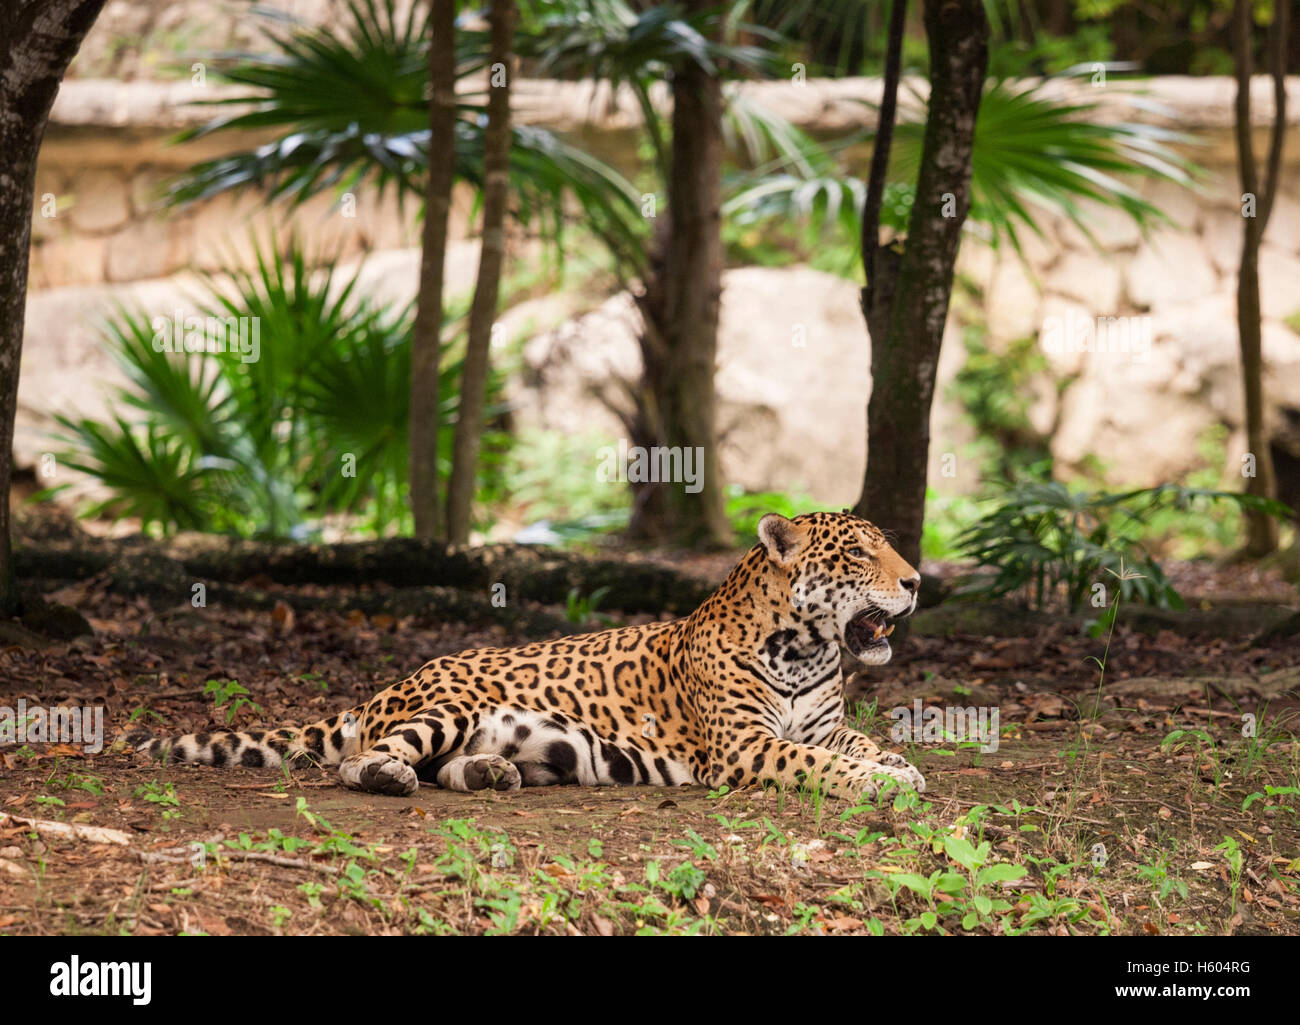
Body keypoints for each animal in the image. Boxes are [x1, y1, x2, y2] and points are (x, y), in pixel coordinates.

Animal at [127, 511, 926, 802]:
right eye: (860, 553)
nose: (917, 581)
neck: (807, 649)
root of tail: (387, 686)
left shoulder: (822, 723)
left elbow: (852, 741)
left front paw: (895, 760)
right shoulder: (743, 747)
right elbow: (817, 763)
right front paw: (882, 781)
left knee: (444, 768)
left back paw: (492, 771)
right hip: (447, 707)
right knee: (362, 759)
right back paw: (391, 776)